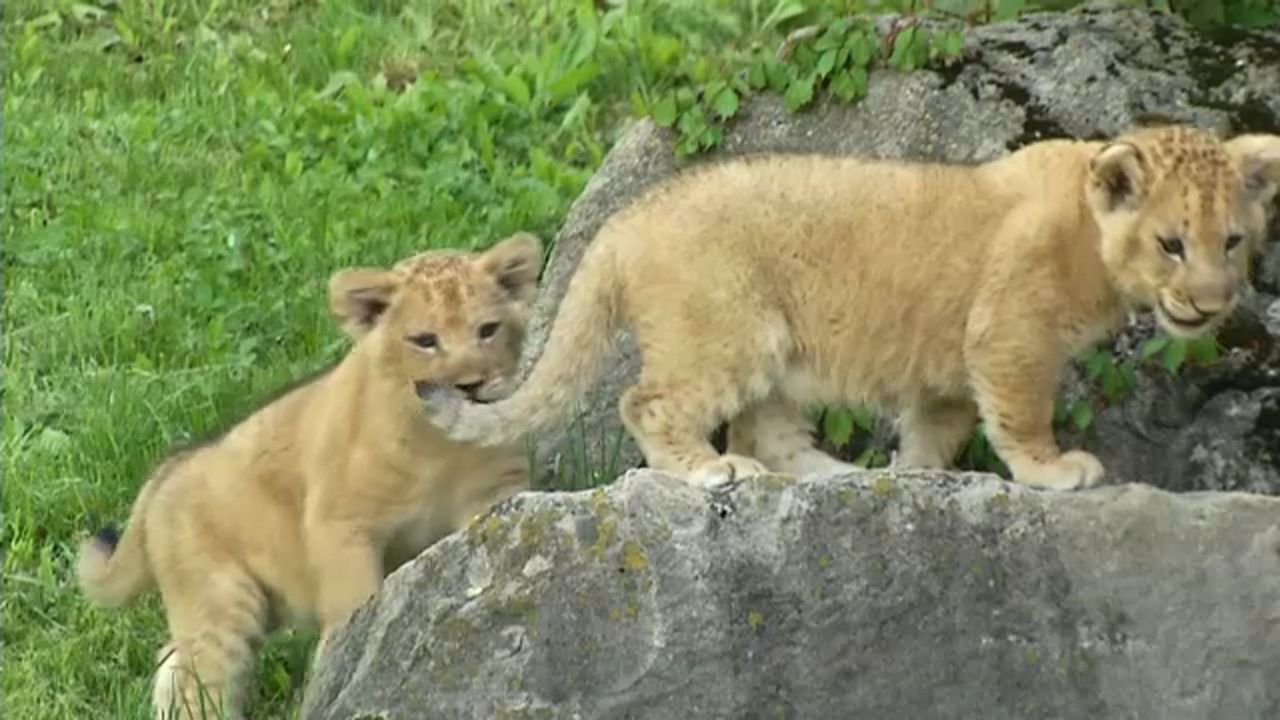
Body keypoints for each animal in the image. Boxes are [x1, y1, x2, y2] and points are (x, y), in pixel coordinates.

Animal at [76, 233, 543, 720]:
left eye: (487, 330)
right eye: (424, 341)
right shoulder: (340, 526)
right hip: (221, 597)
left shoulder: (491, 494)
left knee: (172, 661)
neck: (439, 446)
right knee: (200, 678)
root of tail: (168, 471)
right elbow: (353, 603)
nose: (472, 385)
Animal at [418, 125, 1280, 492]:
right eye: (1171, 244)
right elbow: (1022, 414)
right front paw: (1052, 470)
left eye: (1232, 241)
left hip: (776, 354)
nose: (1213, 303)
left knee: (769, 434)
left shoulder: (950, 370)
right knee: (651, 402)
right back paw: (708, 472)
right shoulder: (1011, 337)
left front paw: (913, 478)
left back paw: (836, 477)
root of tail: (629, 217)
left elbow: (936, 431)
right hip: (728, 333)